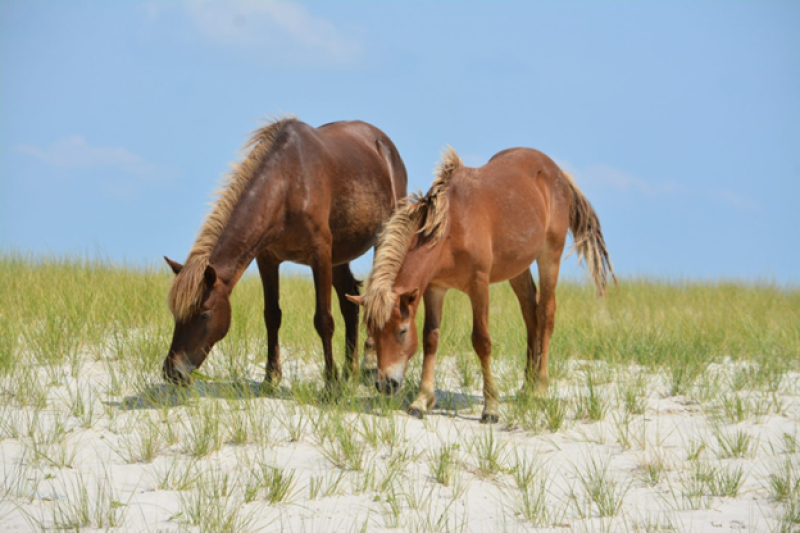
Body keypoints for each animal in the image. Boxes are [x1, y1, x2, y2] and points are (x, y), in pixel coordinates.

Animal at [163, 117, 407, 387]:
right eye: (175, 314)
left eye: (204, 315)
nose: (172, 371)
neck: (286, 184)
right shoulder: (267, 260)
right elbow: (272, 315)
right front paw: (271, 377)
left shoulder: (319, 256)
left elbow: (323, 320)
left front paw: (330, 384)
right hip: (339, 256)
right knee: (349, 303)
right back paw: (349, 371)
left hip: (382, 241)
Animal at [347, 146, 614, 423]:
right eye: (372, 333)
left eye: (401, 331)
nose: (385, 384)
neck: (451, 225)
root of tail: (557, 171)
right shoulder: (435, 288)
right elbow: (430, 338)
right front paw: (422, 400)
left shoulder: (479, 286)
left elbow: (482, 341)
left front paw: (491, 407)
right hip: (517, 268)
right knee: (530, 313)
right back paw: (526, 386)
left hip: (550, 255)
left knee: (546, 313)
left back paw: (540, 387)